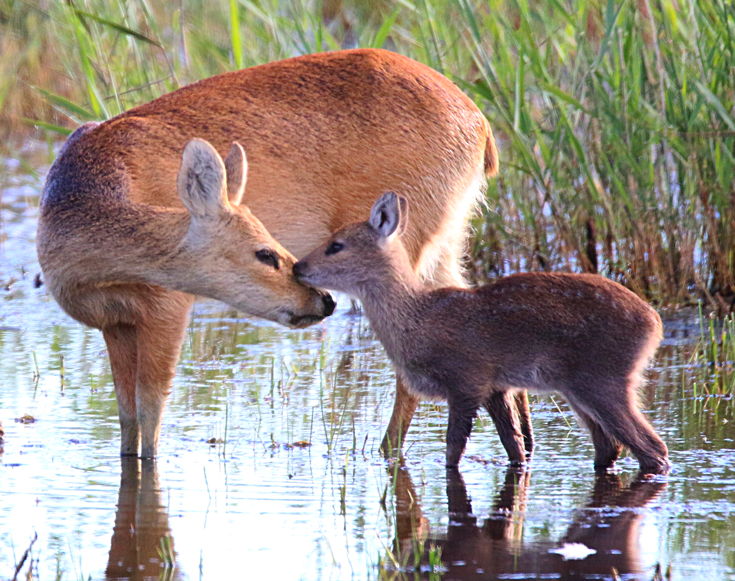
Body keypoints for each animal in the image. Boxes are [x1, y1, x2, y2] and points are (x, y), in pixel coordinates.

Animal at [37, 48, 529, 459]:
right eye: (265, 253)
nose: (323, 301)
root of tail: (480, 125)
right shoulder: (115, 323)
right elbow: (126, 422)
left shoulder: (167, 305)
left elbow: (150, 419)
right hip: (448, 239)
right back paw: (522, 443)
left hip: (405, 242)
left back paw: (385, 452)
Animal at [293, 192, 670, 474]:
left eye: (336, 245)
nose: (298, 267)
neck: (418, 322)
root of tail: (654, 324)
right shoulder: (495, 387)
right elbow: (514, 447)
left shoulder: (467, 379)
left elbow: (453, 448)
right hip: (579, 388)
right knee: (611, 447)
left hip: (604, 379)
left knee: (653, 449)